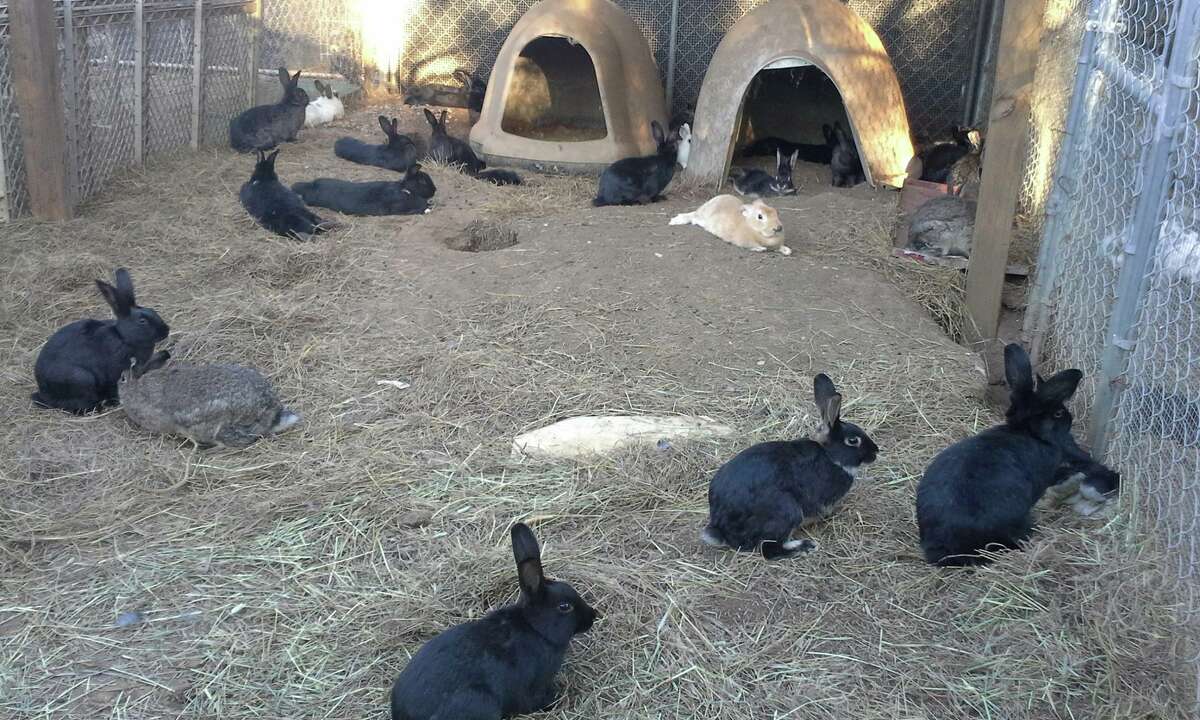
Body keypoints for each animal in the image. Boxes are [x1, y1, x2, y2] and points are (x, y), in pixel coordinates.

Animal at [32, 268, 170, 414]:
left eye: (153, 310)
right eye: (142, 321)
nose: (166, 330)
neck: (122, 337)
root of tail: (43, 393)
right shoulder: (115, 372)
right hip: (82, 379)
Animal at [702, 374, 878, 560]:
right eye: (853, 441)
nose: (875, 451)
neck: (831, 456)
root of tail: (721, 529)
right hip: (786, 511)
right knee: (768, 549)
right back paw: (805, 546)